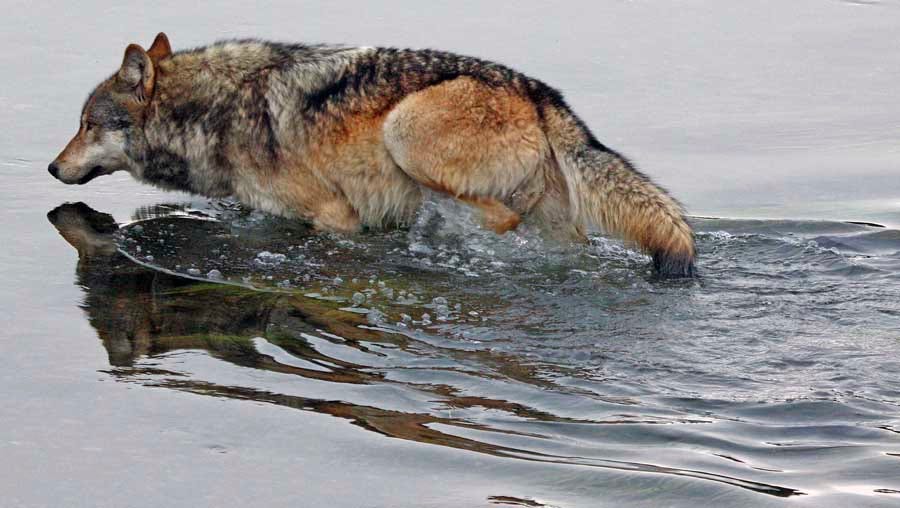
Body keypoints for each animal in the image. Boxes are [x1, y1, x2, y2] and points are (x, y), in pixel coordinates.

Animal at [49, 33, 696, 276]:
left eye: (86, 124)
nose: (53, 167)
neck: (216, 111)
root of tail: (539, 92)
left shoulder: (335, 216)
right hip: (560, 226)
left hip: (404, 133)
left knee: (497, 216)